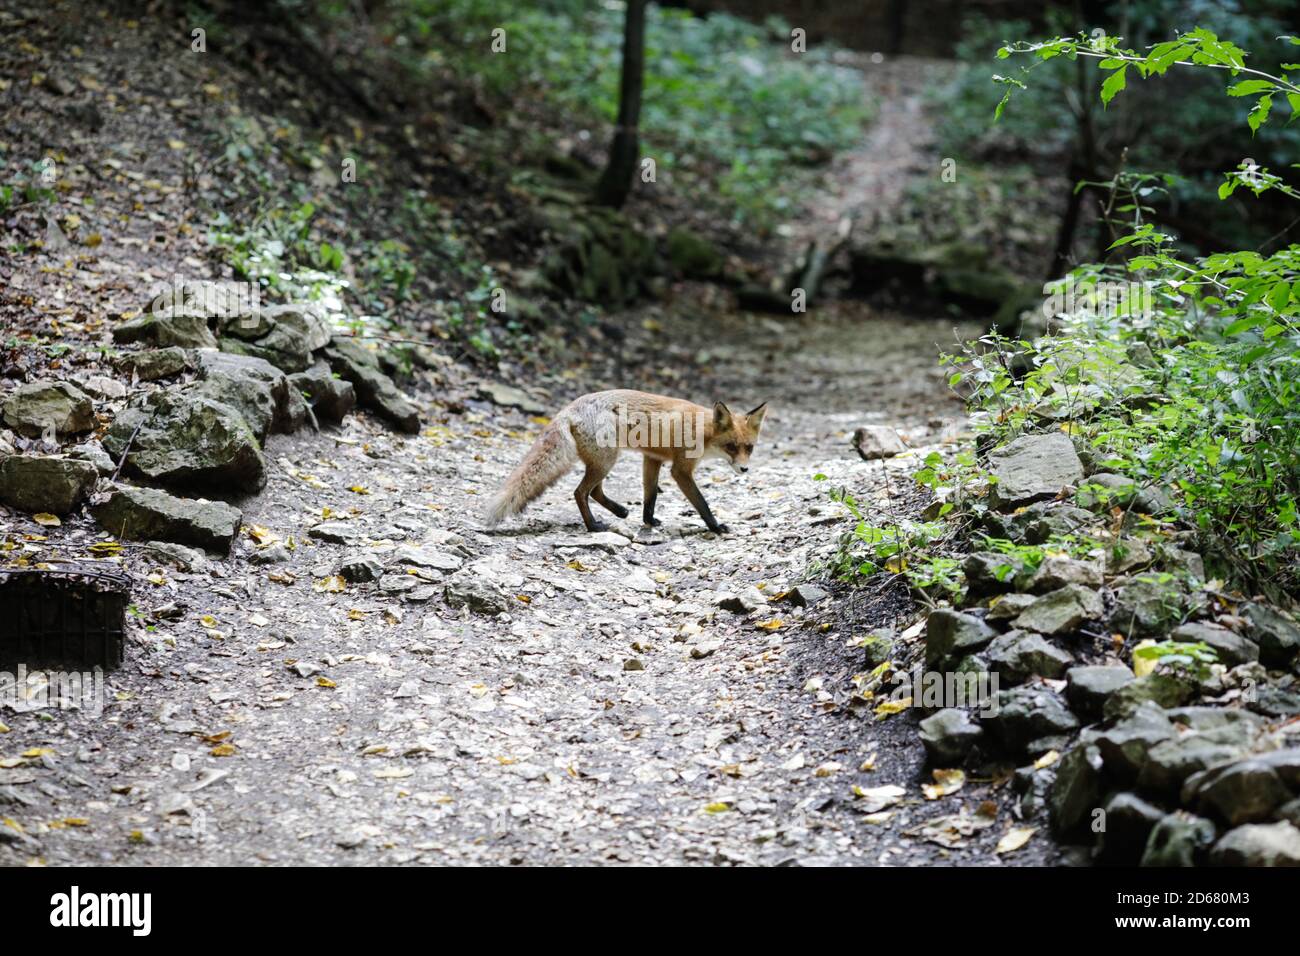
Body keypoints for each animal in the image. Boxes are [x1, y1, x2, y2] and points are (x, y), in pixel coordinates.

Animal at [484, 389, 768, 534]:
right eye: (731, 447)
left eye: (749, 448)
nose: (744, 469)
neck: (701, 429)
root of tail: (569, 408)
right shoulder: (681, 470)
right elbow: (701, 503)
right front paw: (716, 526)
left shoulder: (652, 458)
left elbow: (650, 496)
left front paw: (649, 521)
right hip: (607, 460)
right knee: (580, 492)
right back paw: (593, 526)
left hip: (603, 461)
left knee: (594, 491)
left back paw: (619, 511)